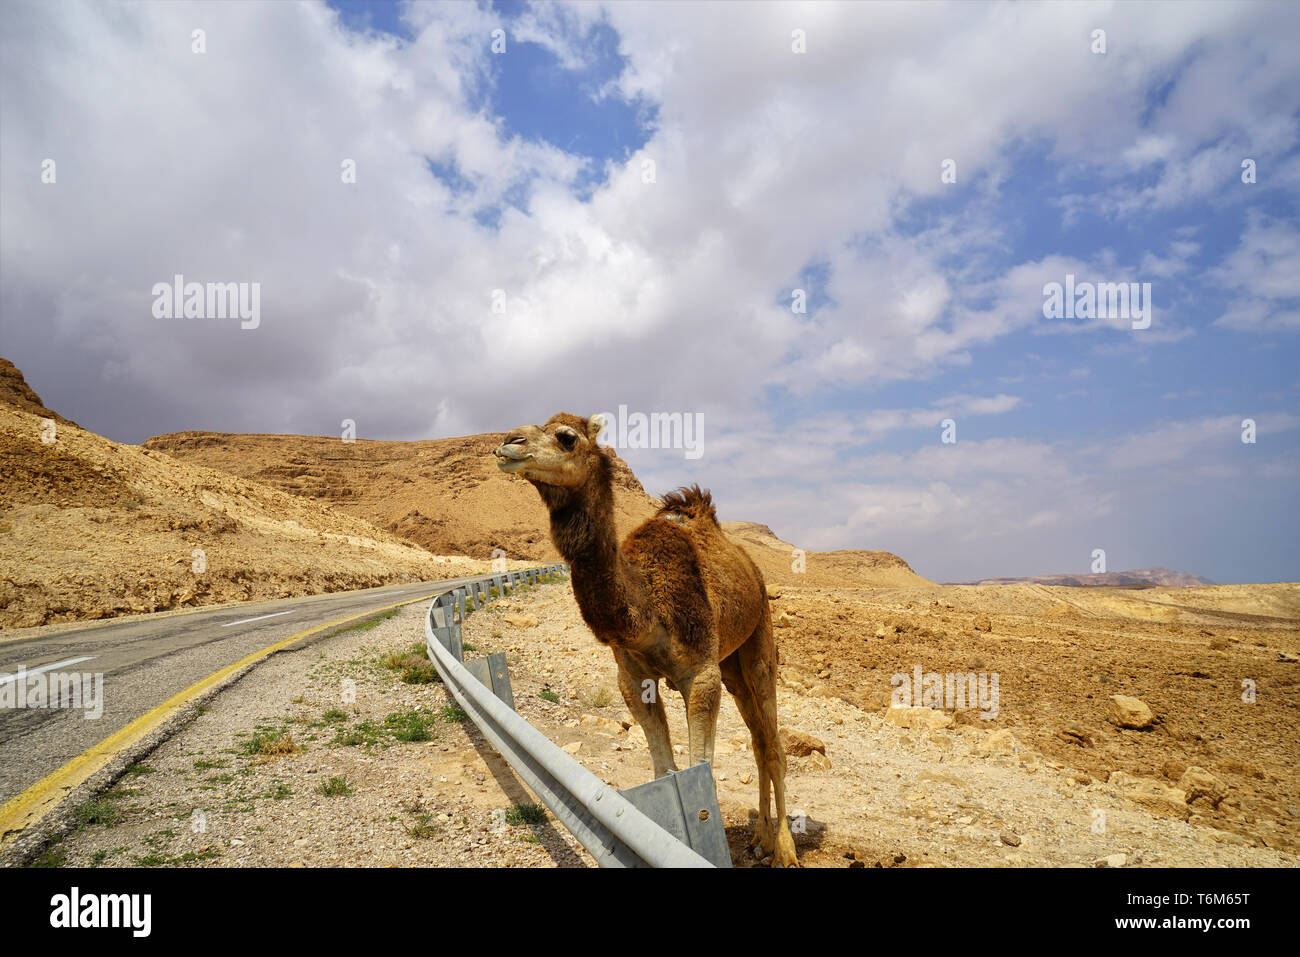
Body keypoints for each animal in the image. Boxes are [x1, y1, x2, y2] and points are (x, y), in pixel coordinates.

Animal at [495, 412, 798, 867]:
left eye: (566, 438)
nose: (508, 443)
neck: (646, 609)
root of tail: (751, 566)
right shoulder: (633, 676)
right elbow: (663, 768)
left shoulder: (701, 673)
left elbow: (701, 769)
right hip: (731, 663)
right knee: (759, 739)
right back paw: (760, 838)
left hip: (759, 634)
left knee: (774, 741)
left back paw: (785, 848)